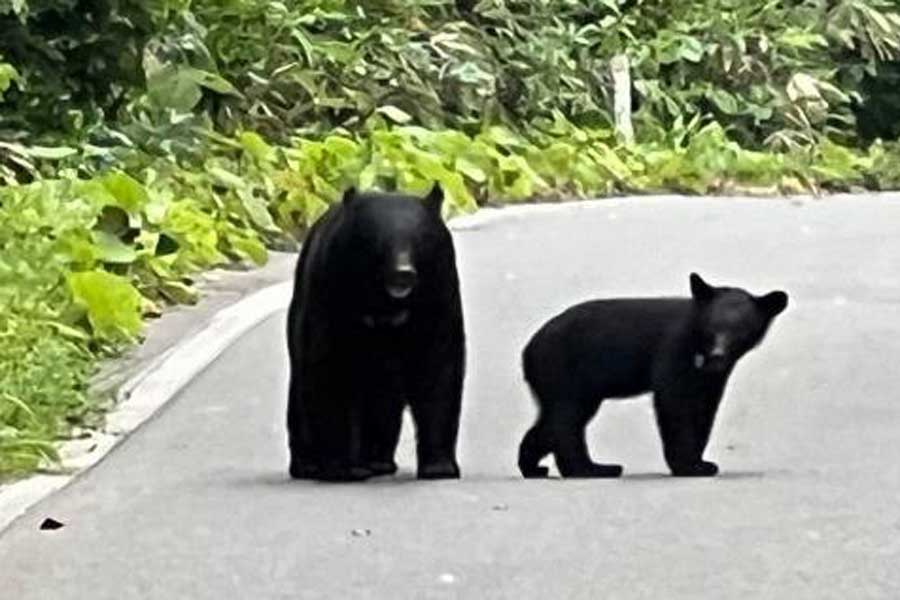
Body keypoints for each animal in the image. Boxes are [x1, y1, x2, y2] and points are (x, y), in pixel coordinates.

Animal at [286, 183, 465, 482]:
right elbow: (331, 368)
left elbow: (438, 367)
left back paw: (378, 461)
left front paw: (439, 467)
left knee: (384, 399)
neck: (384, 302)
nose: (403, 273)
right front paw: (341, 468)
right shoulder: (330, 290)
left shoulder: (438, 291)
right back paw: (310, 464)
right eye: (379, 241)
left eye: (419, 240)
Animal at [518, 273, 788, 479]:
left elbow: (704, 408)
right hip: (564, 370)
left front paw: (701, 462)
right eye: (713, 326)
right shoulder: (673, 351)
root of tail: (529, 348)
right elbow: (676, 404)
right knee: (566, 419)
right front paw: (689, 466)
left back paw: (535, 467)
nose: (718, 354)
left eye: (740, 330)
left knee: (553, 420)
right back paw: (590, 469)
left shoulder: (711, 377)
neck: (697, 345)